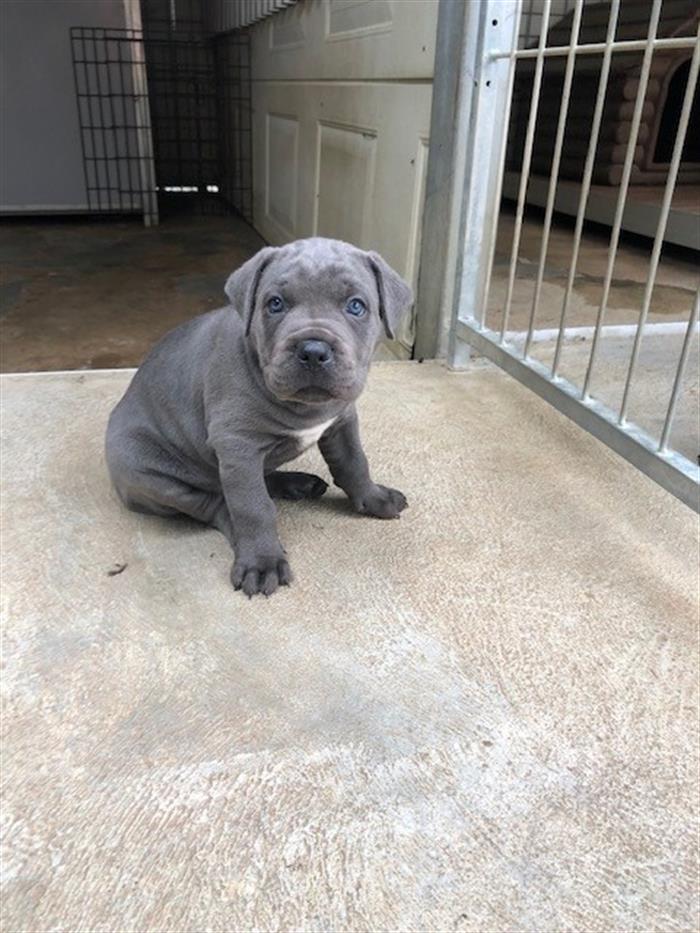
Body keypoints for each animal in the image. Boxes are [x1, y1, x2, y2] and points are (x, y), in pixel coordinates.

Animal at [106, 235, 412, 596]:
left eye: (356, 306)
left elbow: (354, 464)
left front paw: (374, 499)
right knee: (217, 503)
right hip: (147, 472)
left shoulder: (342, 421)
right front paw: (262, 562)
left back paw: (296, 483)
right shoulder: (238, 445)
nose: (313, 350)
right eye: (275, 304)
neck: (305, 407)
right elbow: (253, 507)